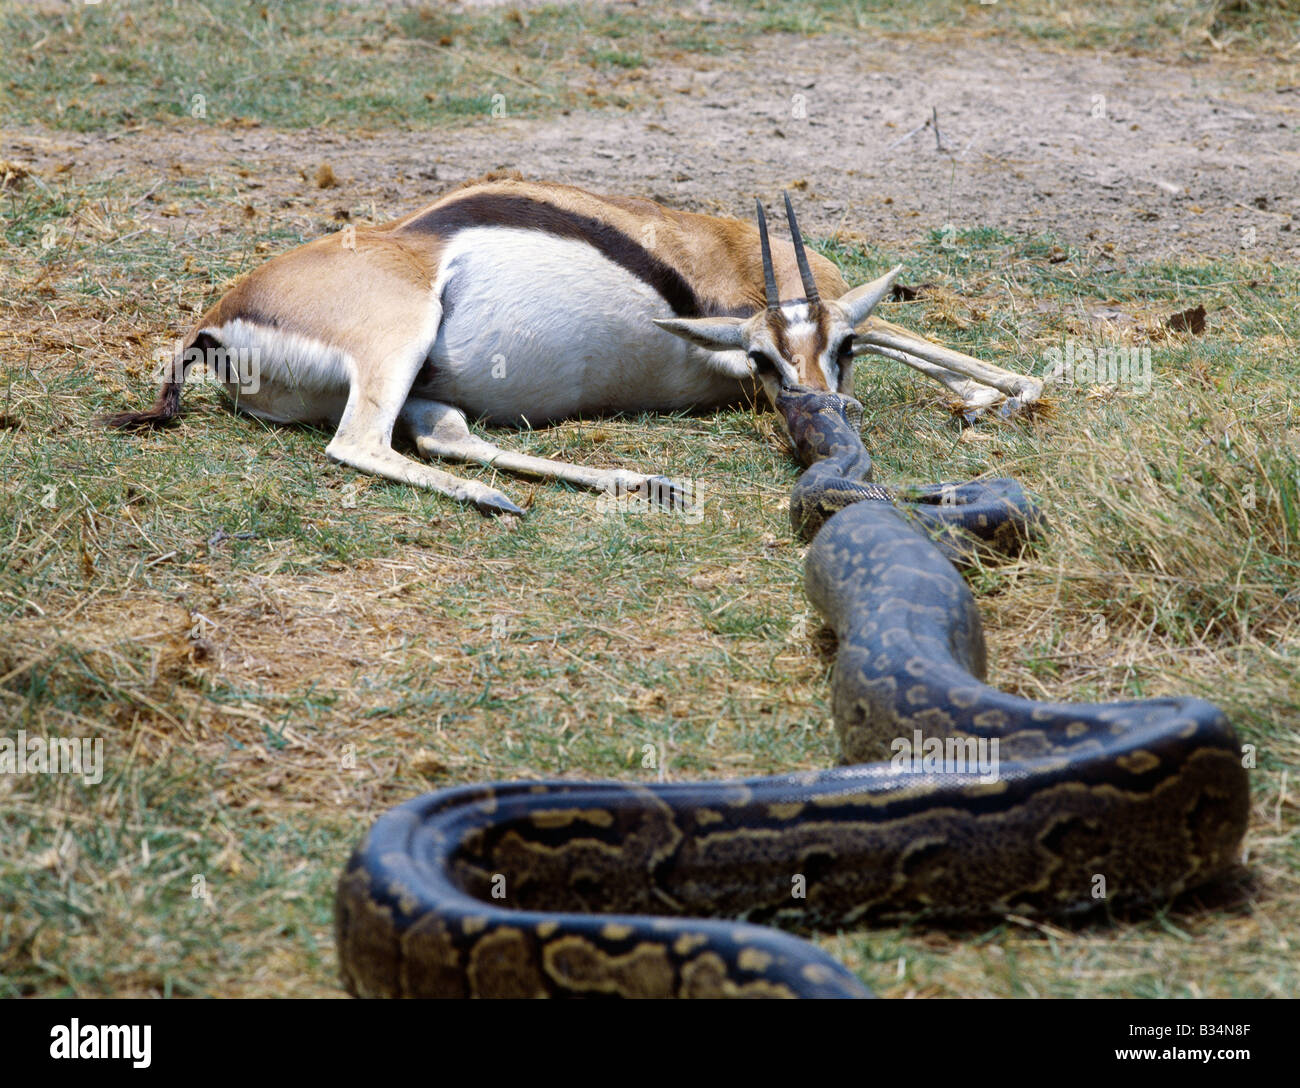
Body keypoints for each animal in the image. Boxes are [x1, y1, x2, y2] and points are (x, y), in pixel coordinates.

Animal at [106, 174, 1042, 515]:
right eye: (763, 359)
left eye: (831, 348)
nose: (818, 407)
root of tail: (216, 318)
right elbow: (913, 333)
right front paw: (1000, 395)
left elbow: (896, 335)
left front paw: (978, 399)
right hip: (395, 344)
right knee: (359, 445)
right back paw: (501, 502)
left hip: (429, 385)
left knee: (443, 435)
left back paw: (641, 482)